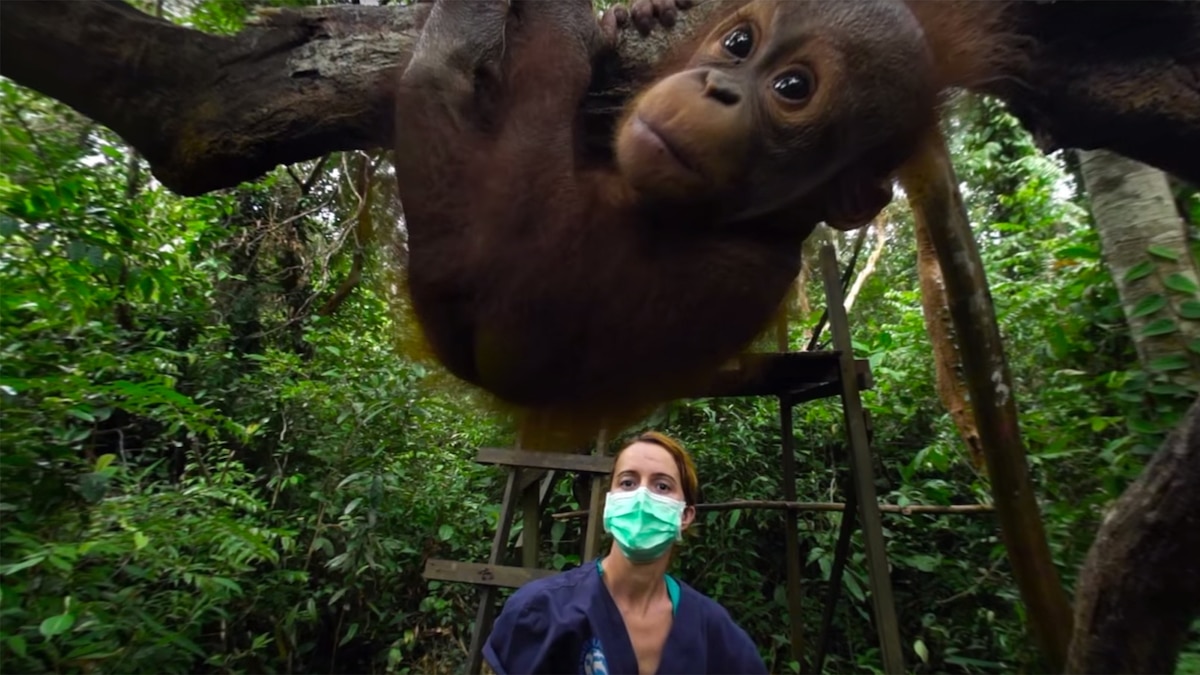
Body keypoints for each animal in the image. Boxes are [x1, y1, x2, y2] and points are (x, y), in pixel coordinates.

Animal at [393, 0, 940, 445]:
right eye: (739, 44)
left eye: (793, 87)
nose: (718, 88)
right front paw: (639, 13)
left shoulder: (738, 274)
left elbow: (514, 327)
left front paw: (570, 23)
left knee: (441, 78)